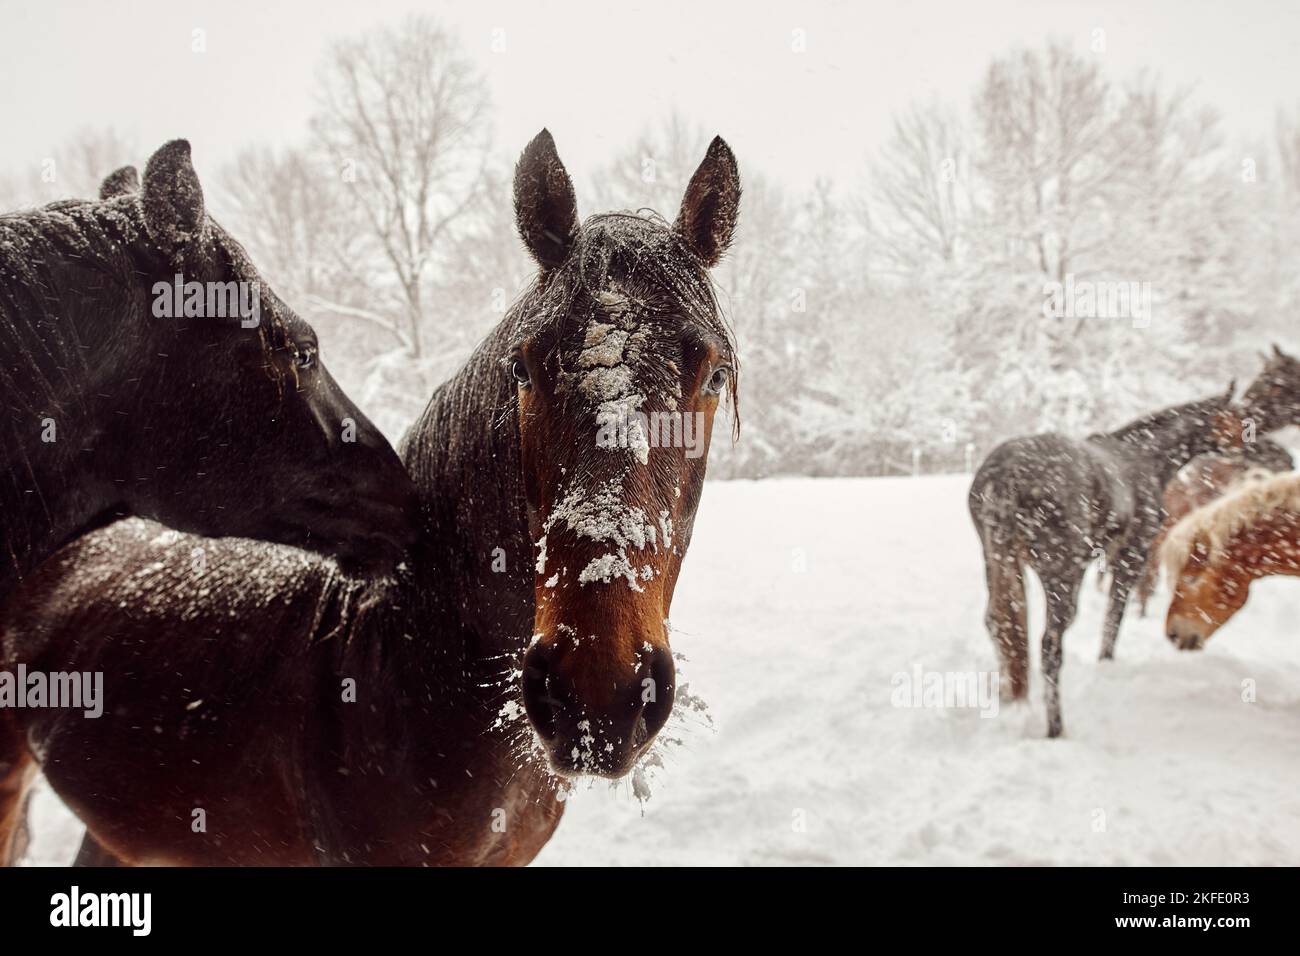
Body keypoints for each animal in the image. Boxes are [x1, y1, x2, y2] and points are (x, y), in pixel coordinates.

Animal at [968, 386, 1241, 737]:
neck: (1143, 455)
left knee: (999, 625)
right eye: (1233, 417)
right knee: (1049, 646)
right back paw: (1056, 728)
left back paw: (1009, 699)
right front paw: (1106, 661)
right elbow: (1115, 616)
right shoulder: (1130, 559)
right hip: (1061, 577)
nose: (1248, 446)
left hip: (997, 565)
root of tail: (1007, 470)